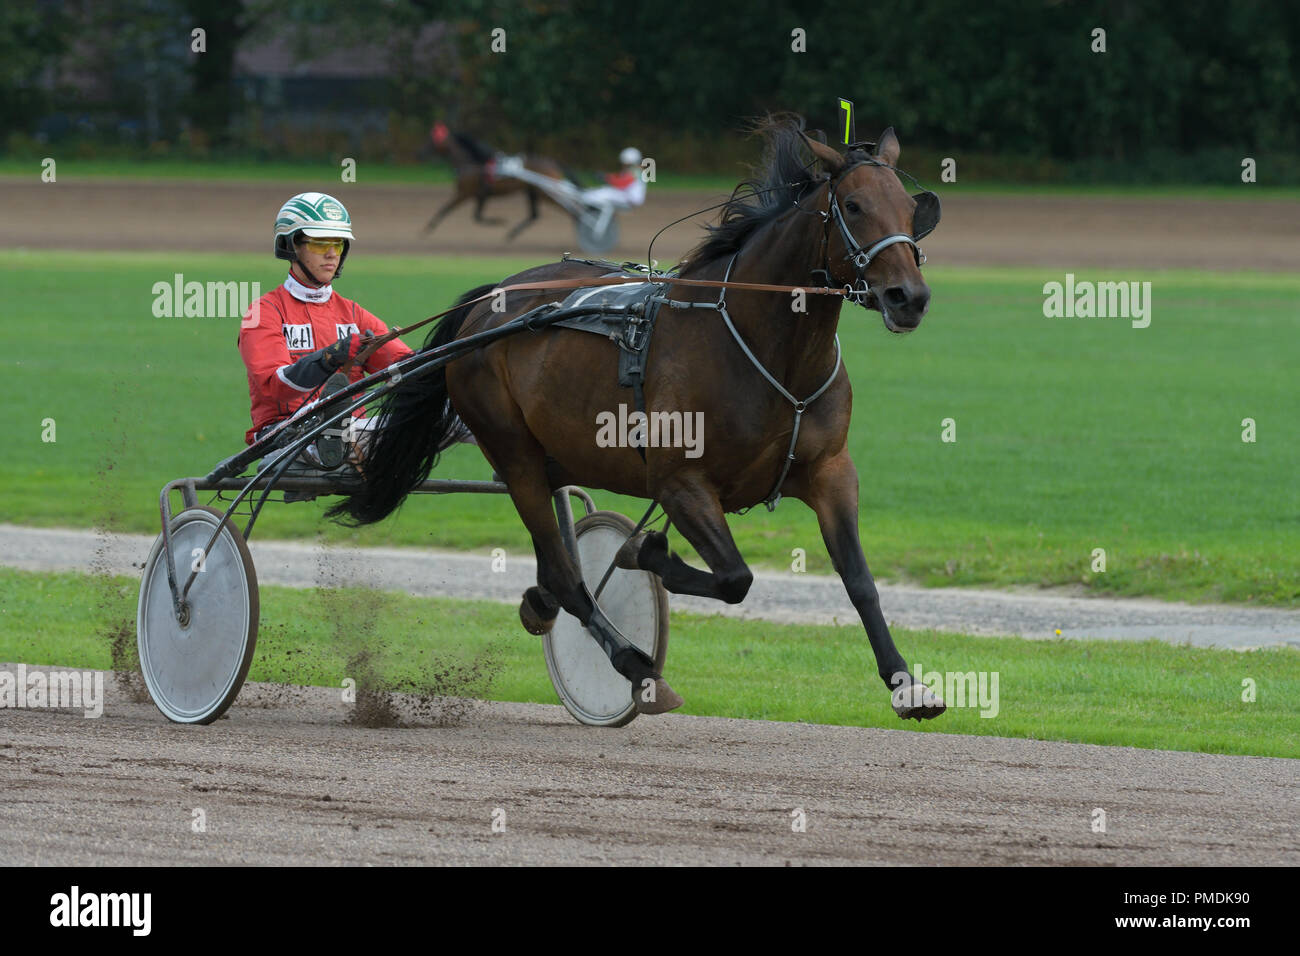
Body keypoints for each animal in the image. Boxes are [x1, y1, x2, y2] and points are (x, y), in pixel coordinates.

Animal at [421, 122, 576, 241]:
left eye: (432, 140)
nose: (420, 153)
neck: (473, 163)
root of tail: (553, 162)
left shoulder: (465, 193)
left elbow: (445, 210)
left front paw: (427, 228)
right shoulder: (480, 196)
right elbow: (476, 216)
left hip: (547, 193)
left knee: (568, 210)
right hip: (532, 191)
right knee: (534, 215)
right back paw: (512, 234)